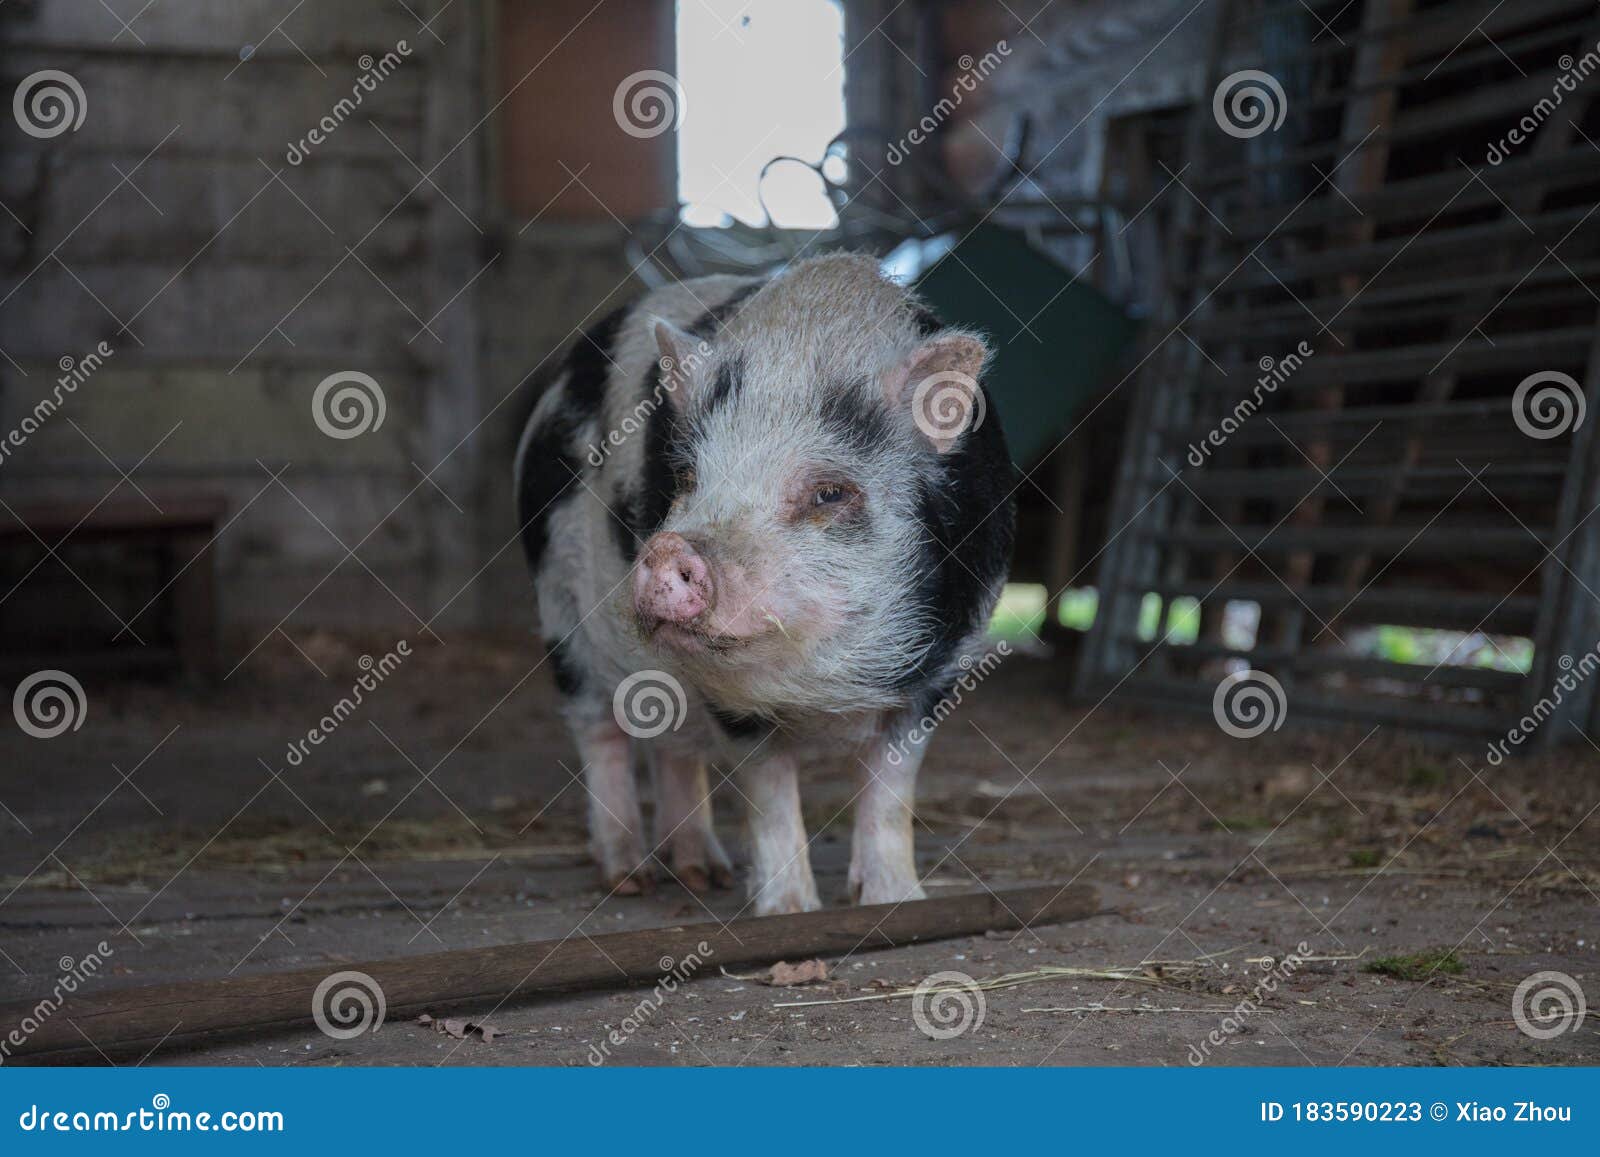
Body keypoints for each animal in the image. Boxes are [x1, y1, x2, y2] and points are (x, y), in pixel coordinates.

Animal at [514, 253, 1014, 915]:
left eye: (829, 493)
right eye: (686, 477)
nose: (668, 548)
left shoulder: (946, 664)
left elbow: (891, 788)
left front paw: (897, 903)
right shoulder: (728, 696)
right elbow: (770, 790)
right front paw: (790, 912)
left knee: (669, 742)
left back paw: (703, 874)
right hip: (557, 609)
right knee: (599, 730)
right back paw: (630, 877)